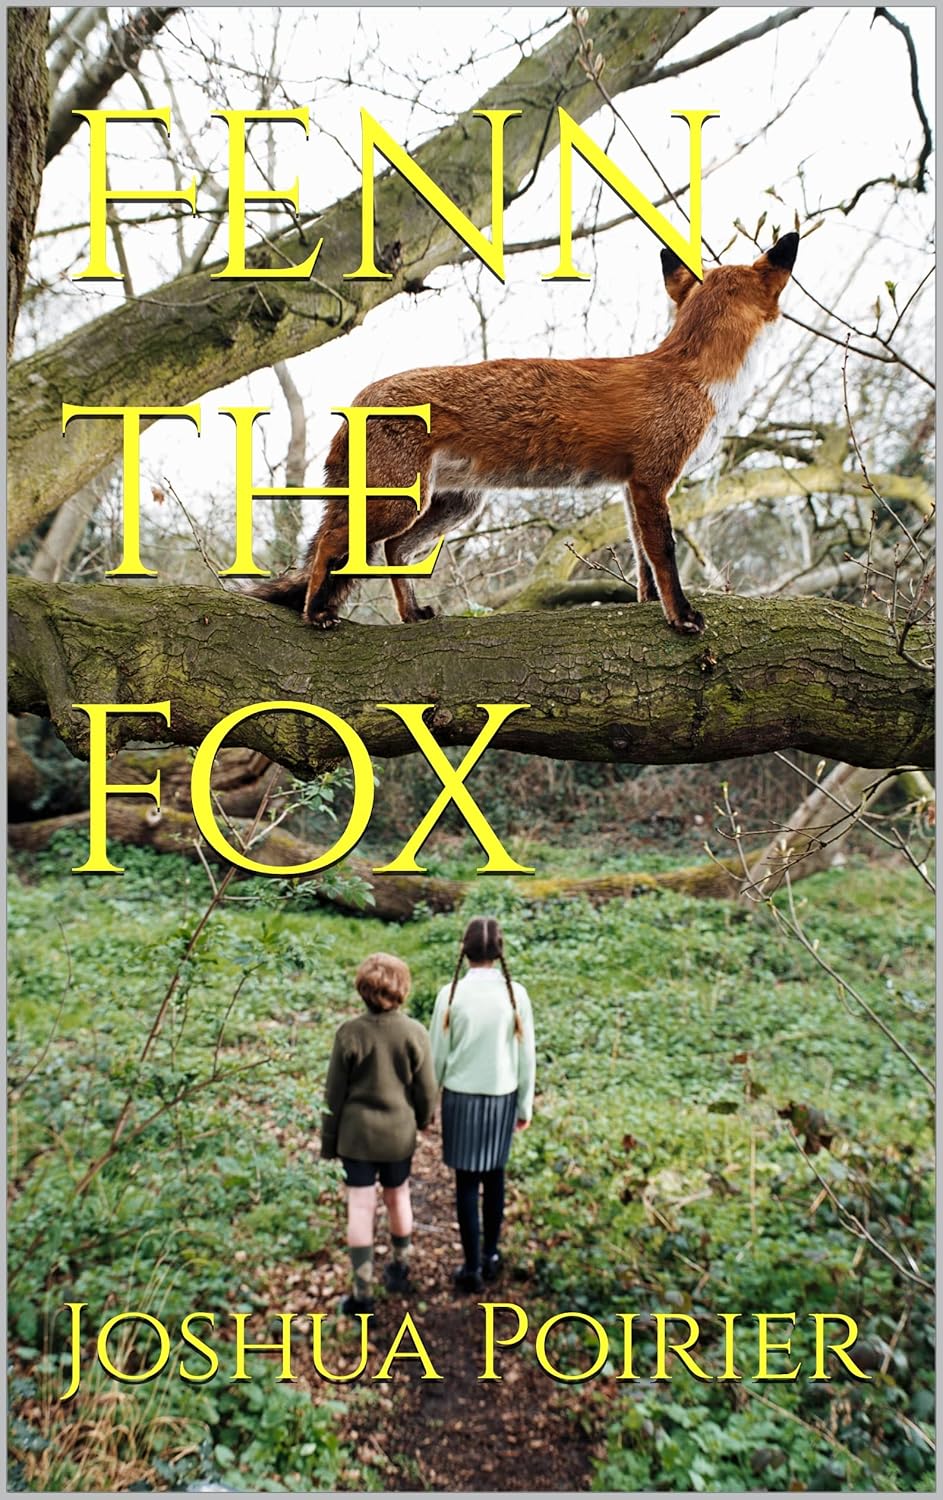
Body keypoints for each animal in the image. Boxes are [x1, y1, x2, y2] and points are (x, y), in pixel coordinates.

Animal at [248, 232, 799, 634]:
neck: (692, 374)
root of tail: (358, 399)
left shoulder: (632, 487)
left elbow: (644, 560)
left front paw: (648, 606)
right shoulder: (652, 481)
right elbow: (663, 554)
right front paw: (680, 617)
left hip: (452, 506)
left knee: (391, 552)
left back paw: (410, 614)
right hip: (398, 505)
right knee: (331, 542)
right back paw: (315, 613)